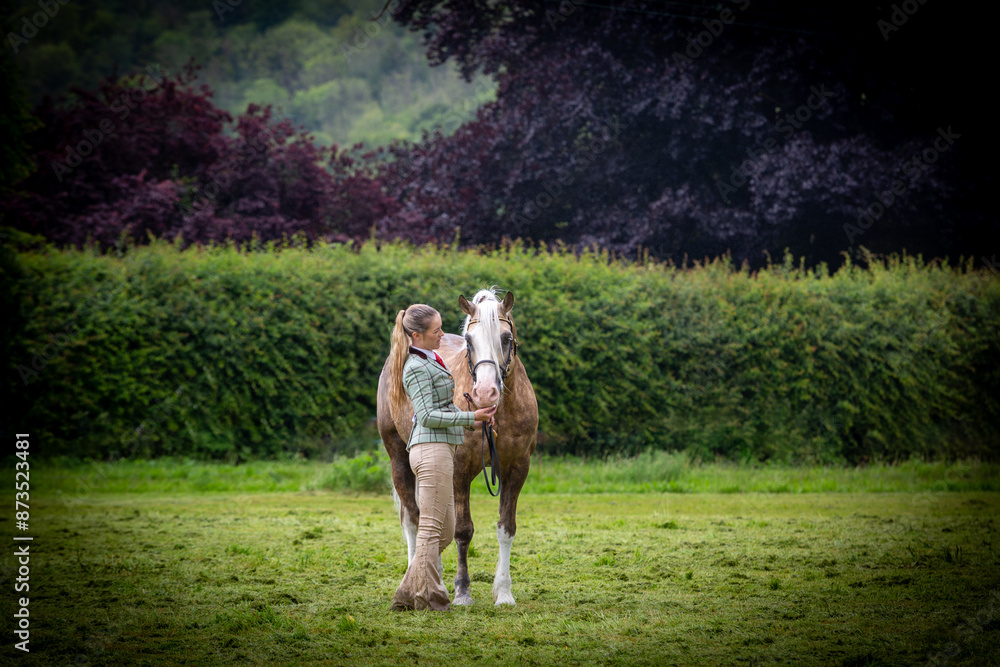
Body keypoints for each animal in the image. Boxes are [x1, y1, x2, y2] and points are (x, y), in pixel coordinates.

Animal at [376, 288, 538, 606]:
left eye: (506, 338)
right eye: (469, 340)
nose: (485, 393)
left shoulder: (517, 469)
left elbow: (506, 528)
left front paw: (503, 592)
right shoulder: (460, 470)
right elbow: (463, 531)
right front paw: (463, 592)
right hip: (399, 458)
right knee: (413, 518)